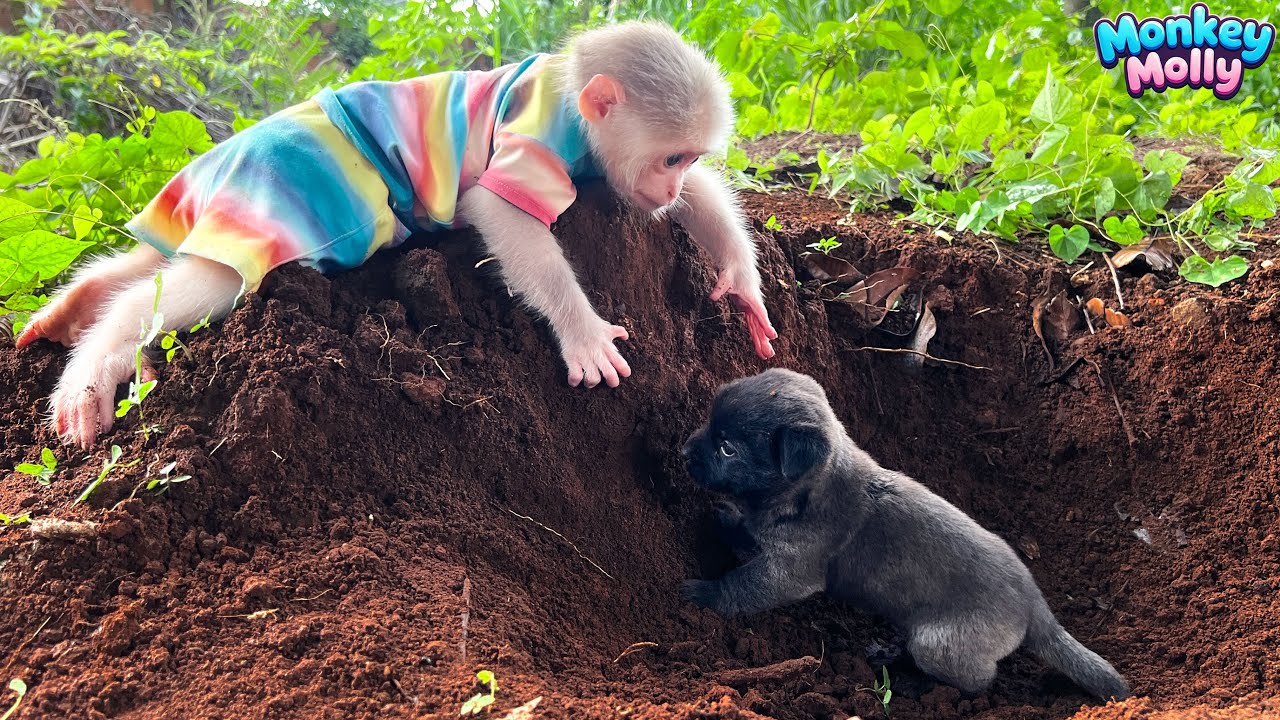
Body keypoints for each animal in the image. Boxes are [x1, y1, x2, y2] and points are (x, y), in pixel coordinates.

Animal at [15, 21, 777, 449]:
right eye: (671, 158)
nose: (669, 190)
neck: (568, 92)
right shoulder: (542, 137)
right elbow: (498, 209)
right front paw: (584, 334)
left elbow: (698, 208)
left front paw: (743, 284)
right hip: (286, 195)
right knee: (209, 279)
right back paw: (90, 370)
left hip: (202, 202)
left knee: (158, 259)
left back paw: (69, 309)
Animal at [679, 368, 1131, 702]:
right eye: (710, 425)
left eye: (727, 449)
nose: (682, 452)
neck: (810, 489)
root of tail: (1036, 608)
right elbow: (747, 530)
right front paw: (725, 520)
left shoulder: (789, 572)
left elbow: (742, 585)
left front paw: (703, 594)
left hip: (939, 645)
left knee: (978, 681)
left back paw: (918, 681)